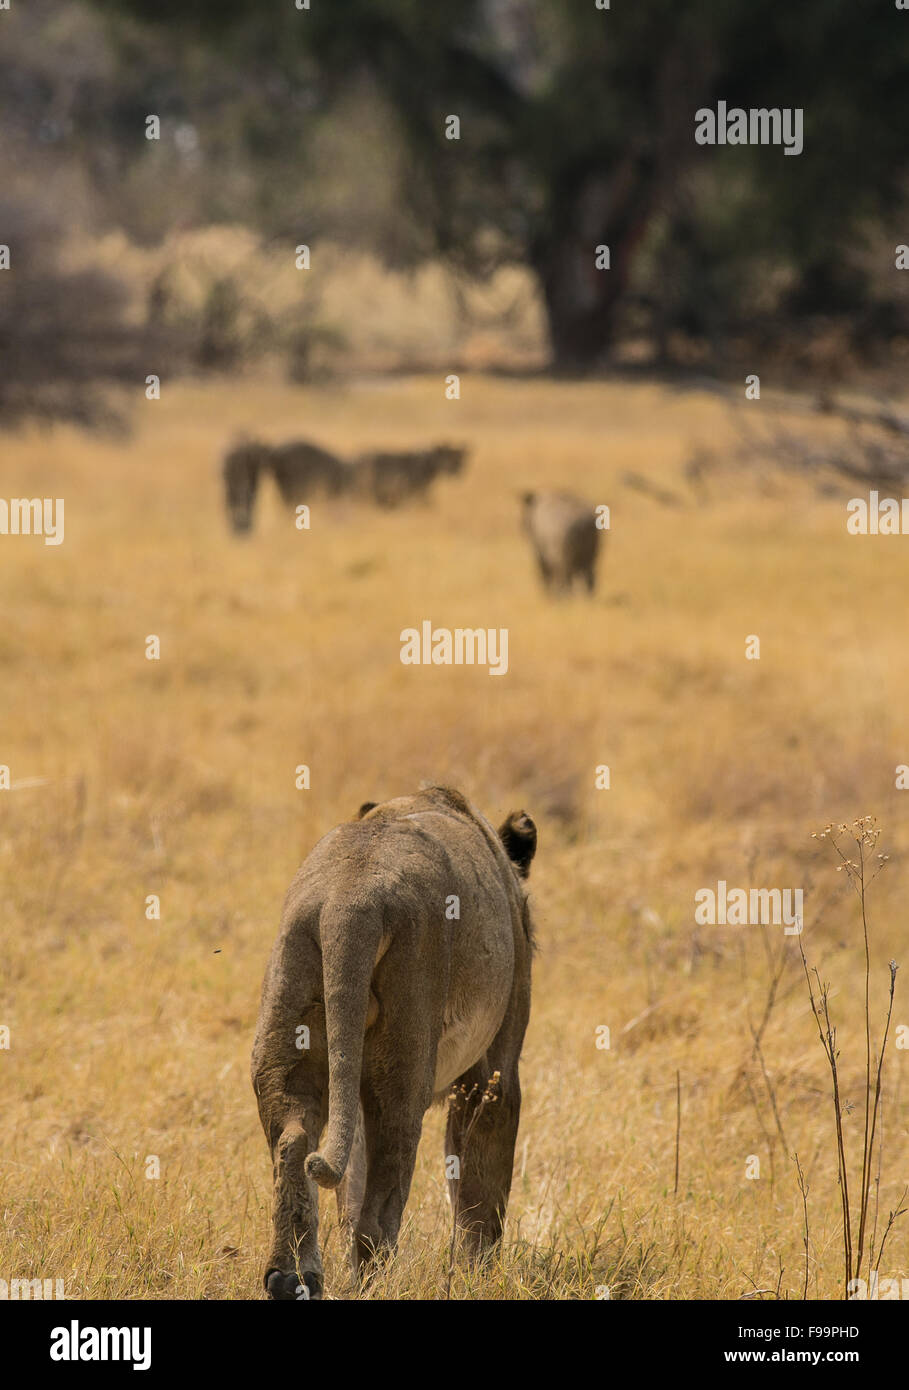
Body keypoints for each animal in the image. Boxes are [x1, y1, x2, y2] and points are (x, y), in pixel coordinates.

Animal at [250, 785, 536, 1300]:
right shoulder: (495, 1067)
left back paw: (293, 1277)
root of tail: (348, 900)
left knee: (294, 1138)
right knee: (382, 1199)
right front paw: (476, 1274)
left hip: (288, 1019)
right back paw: (370, 1279)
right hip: (406, 1054)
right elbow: (479, 1181)